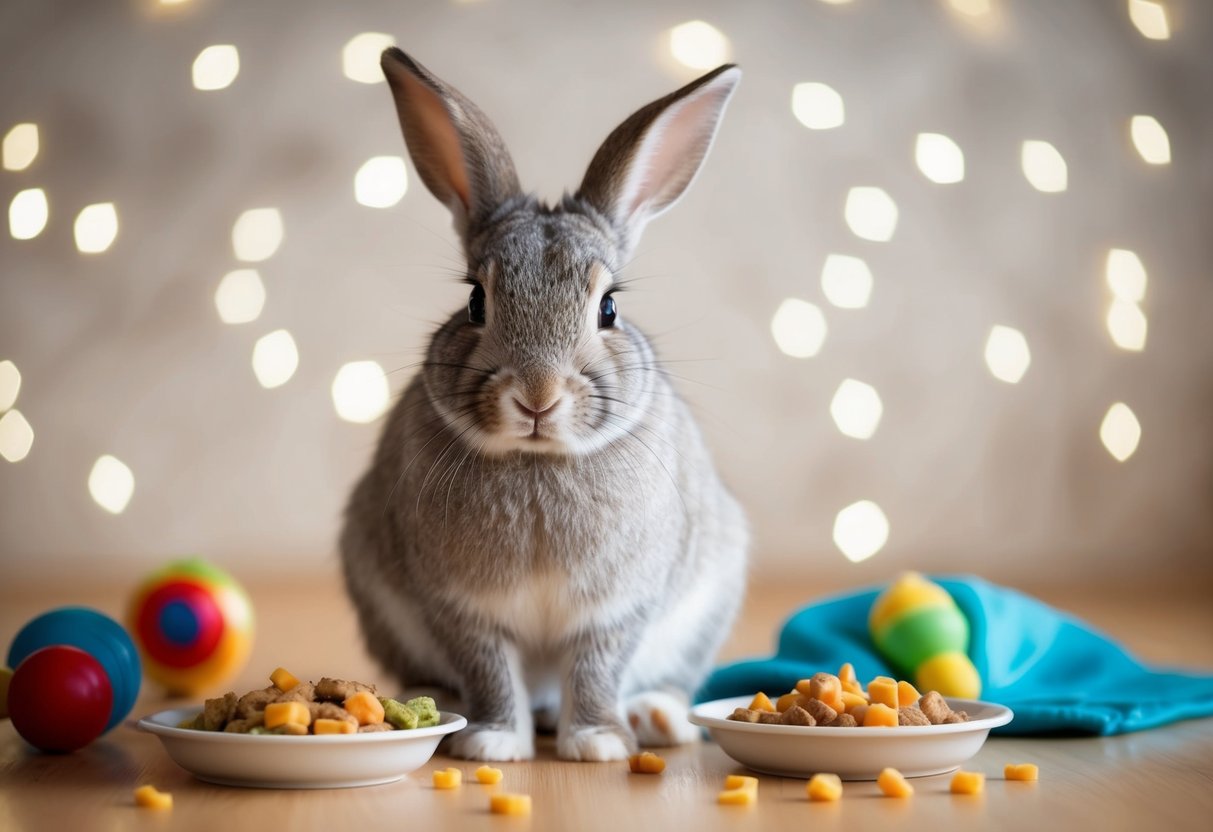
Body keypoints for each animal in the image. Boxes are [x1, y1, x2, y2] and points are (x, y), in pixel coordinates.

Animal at [339, 47, 748, 762]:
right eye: (476, 300)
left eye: (609, 308)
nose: (537, 395)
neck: (537, 459)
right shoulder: (461, 608)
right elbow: (490, 669)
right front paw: (494, 743)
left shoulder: (616, 610)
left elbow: (596, 668)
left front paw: (599, 744)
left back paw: (655, 719)